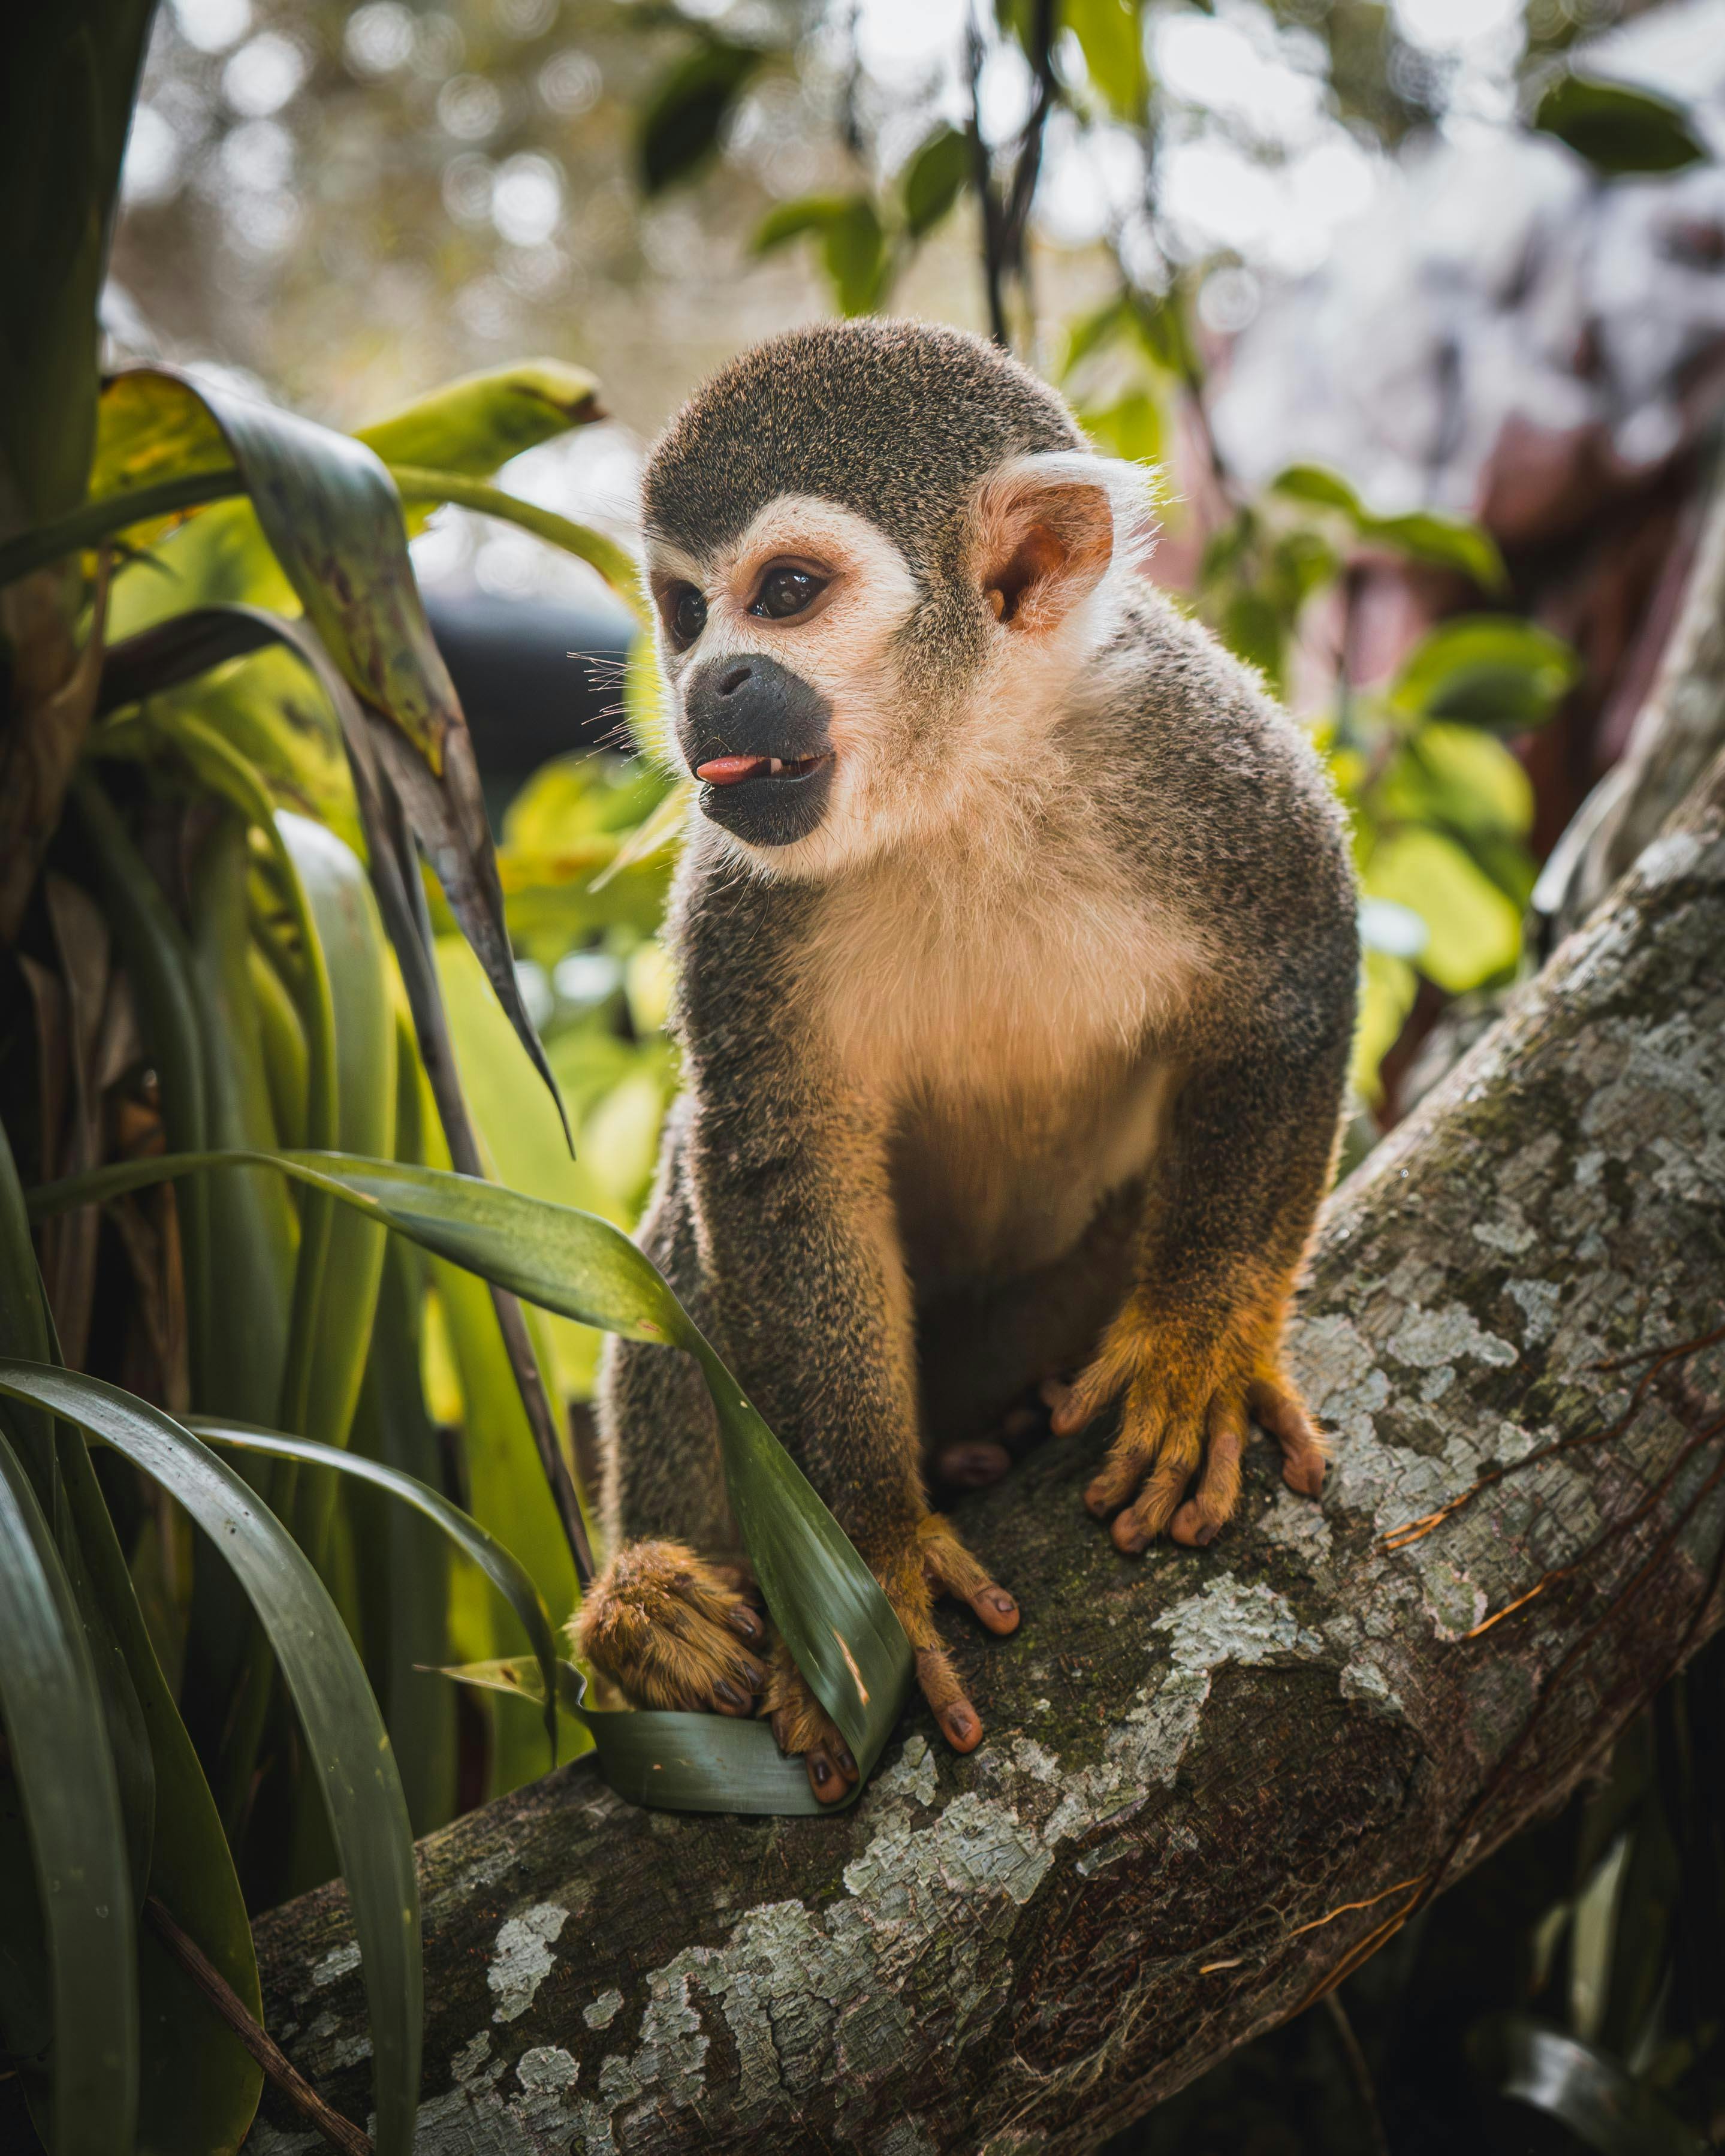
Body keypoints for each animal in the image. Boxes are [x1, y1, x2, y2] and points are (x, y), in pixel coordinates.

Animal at [574, 318, 1358, 1804]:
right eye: (686, 609)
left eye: (787, 591)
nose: (704, 684)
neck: (961, 781)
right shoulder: (732, 888)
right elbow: (777, 1163)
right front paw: (870, 1549)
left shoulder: (1204, 751)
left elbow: (1289, 979)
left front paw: (1199, 1341)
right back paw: (652, 1598)